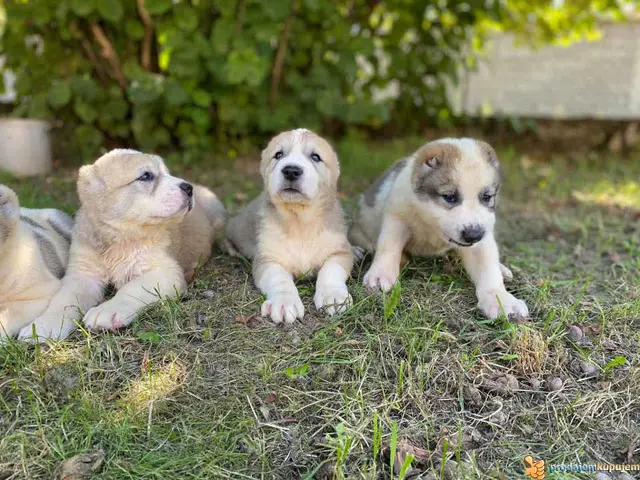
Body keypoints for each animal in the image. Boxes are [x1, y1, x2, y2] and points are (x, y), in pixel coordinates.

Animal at [17, 150, 226, 342]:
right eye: (146, 176)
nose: (188, 188)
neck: (120, 236)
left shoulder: (165, 272)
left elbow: (132, 288)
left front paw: (106, 312)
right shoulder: (83, 275)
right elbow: (63, 300)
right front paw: (41, 327)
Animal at [226, 128, 356, 322]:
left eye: (315, 157)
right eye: (278, 155)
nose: (291, 171)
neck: (299, 222)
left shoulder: (339, 252)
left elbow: (331, 270)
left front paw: (333, 297)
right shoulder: (268, 259)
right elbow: (279, 278)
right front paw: (284, 303)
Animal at [352, 137, 528, 320]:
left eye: (487, 197)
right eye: (449, 197)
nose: (474, 235)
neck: (431, 224)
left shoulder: (481, 242)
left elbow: (488, 268)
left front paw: (500, 299)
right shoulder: (397, 218)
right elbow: (388, 247)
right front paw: (381, 274)